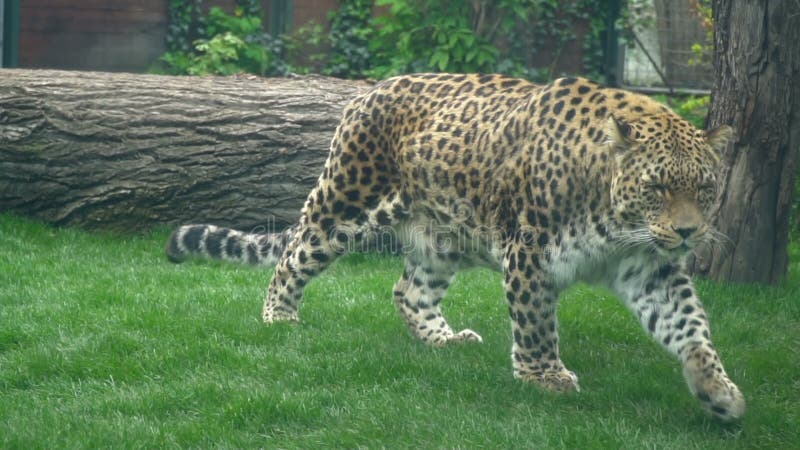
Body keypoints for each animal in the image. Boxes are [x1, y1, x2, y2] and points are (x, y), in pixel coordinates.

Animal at [167, 73, 744, 421]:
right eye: (658, 187)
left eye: (704, 188)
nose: (688, 232)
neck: (617, 217)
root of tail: (367, 90)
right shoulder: (530, 251)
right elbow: (536, 322)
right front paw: (544, 378)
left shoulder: (649, 268)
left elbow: (690, 327)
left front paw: (717, 390)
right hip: (345, 205)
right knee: (293, 257)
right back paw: (278, 316)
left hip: (441, 238)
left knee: (408, 291)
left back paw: (445, 341)